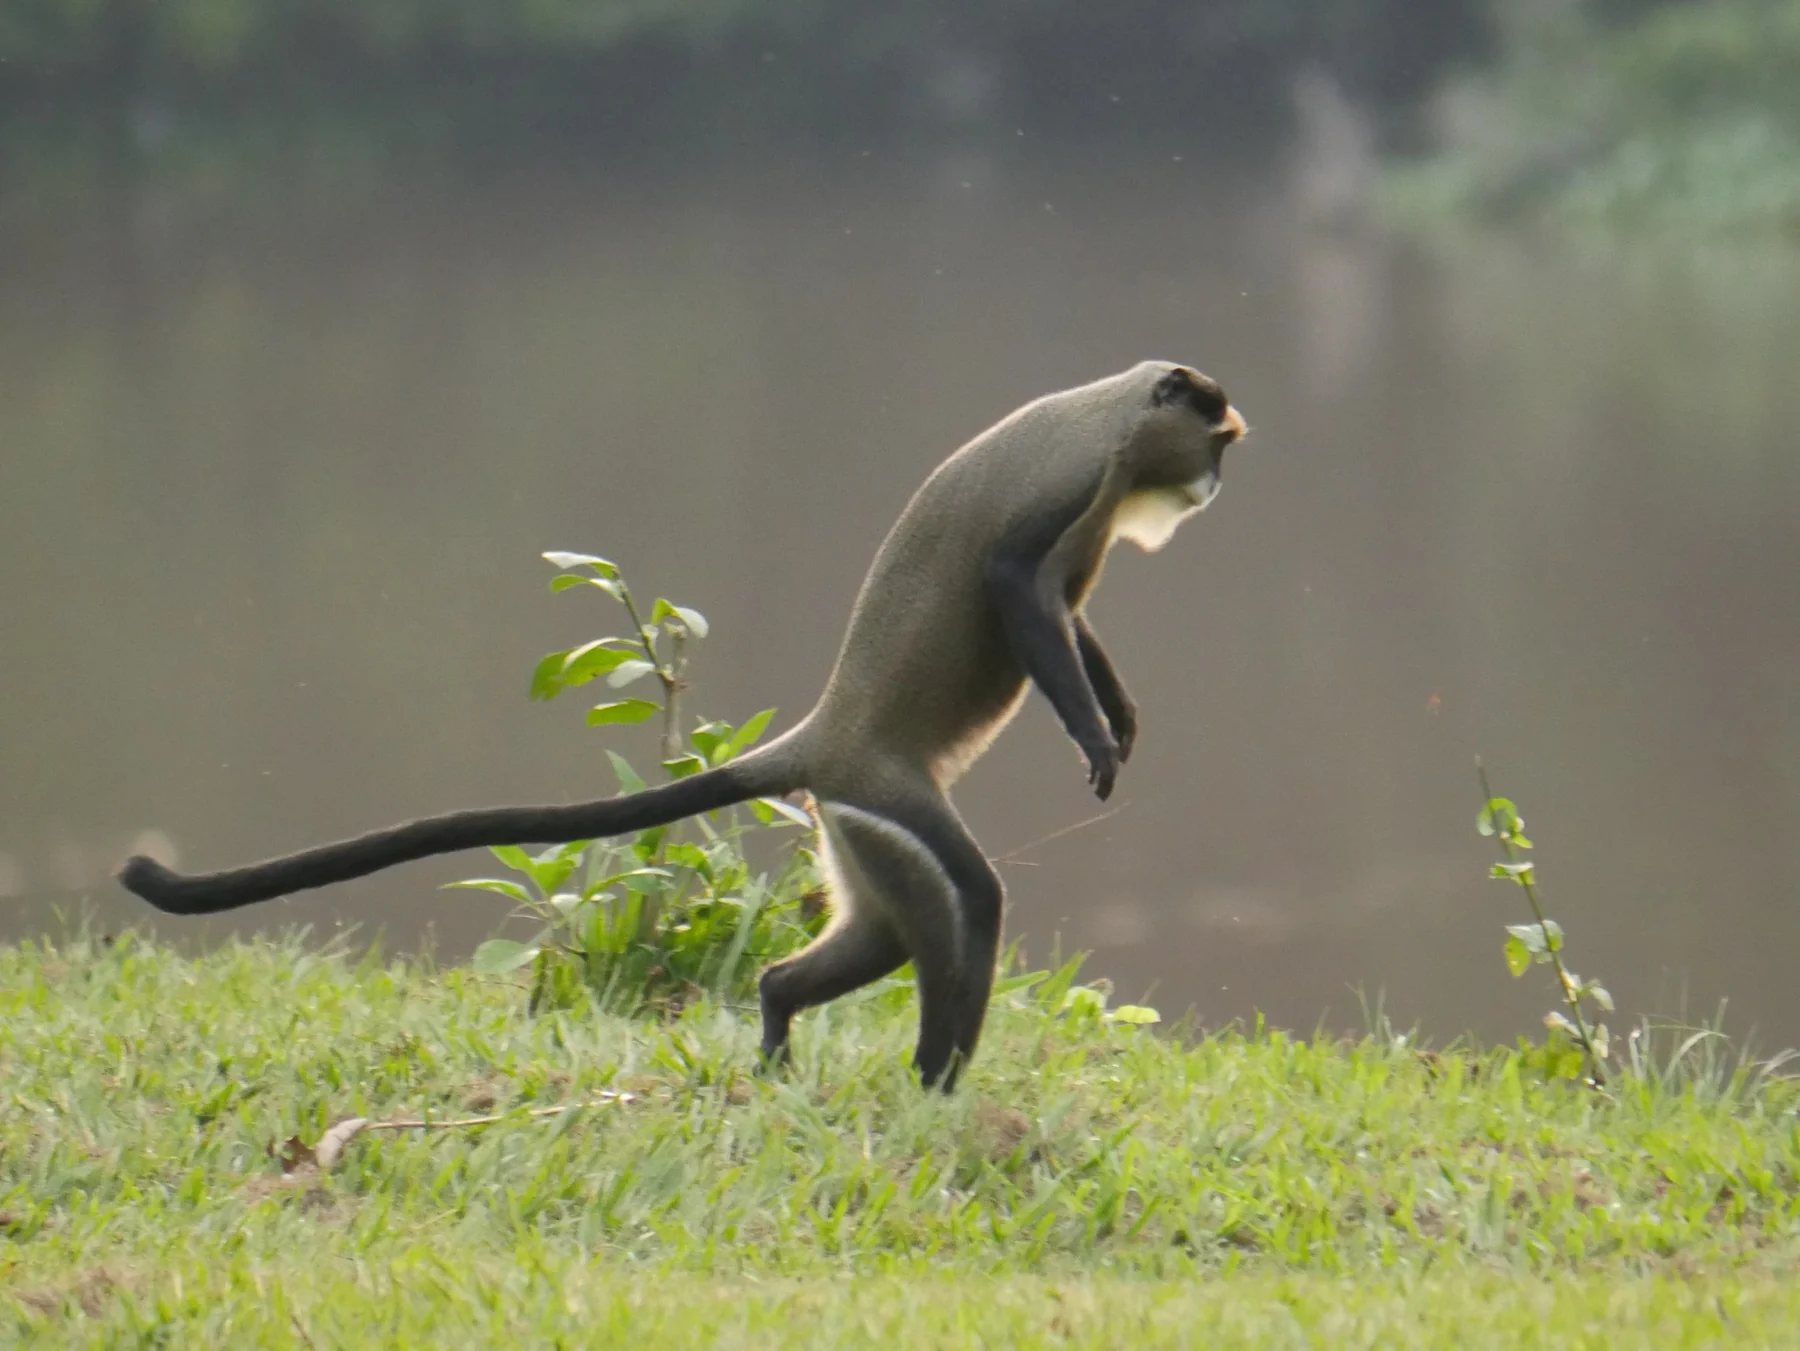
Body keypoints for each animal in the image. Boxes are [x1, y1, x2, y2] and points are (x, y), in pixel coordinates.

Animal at [120, 361, 1250, 1090]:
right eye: (1215, 436)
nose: (1217, 482)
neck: (1113, 419)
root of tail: (821, 737)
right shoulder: (1064, 494)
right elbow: (1019, 587)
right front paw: (1095, 739)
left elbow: (1067, 617)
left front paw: (1121, 717)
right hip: (890, 809)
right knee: (965, 898)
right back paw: (935, 1081)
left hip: (853, 832)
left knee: (874, 935)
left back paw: (782, 1013)